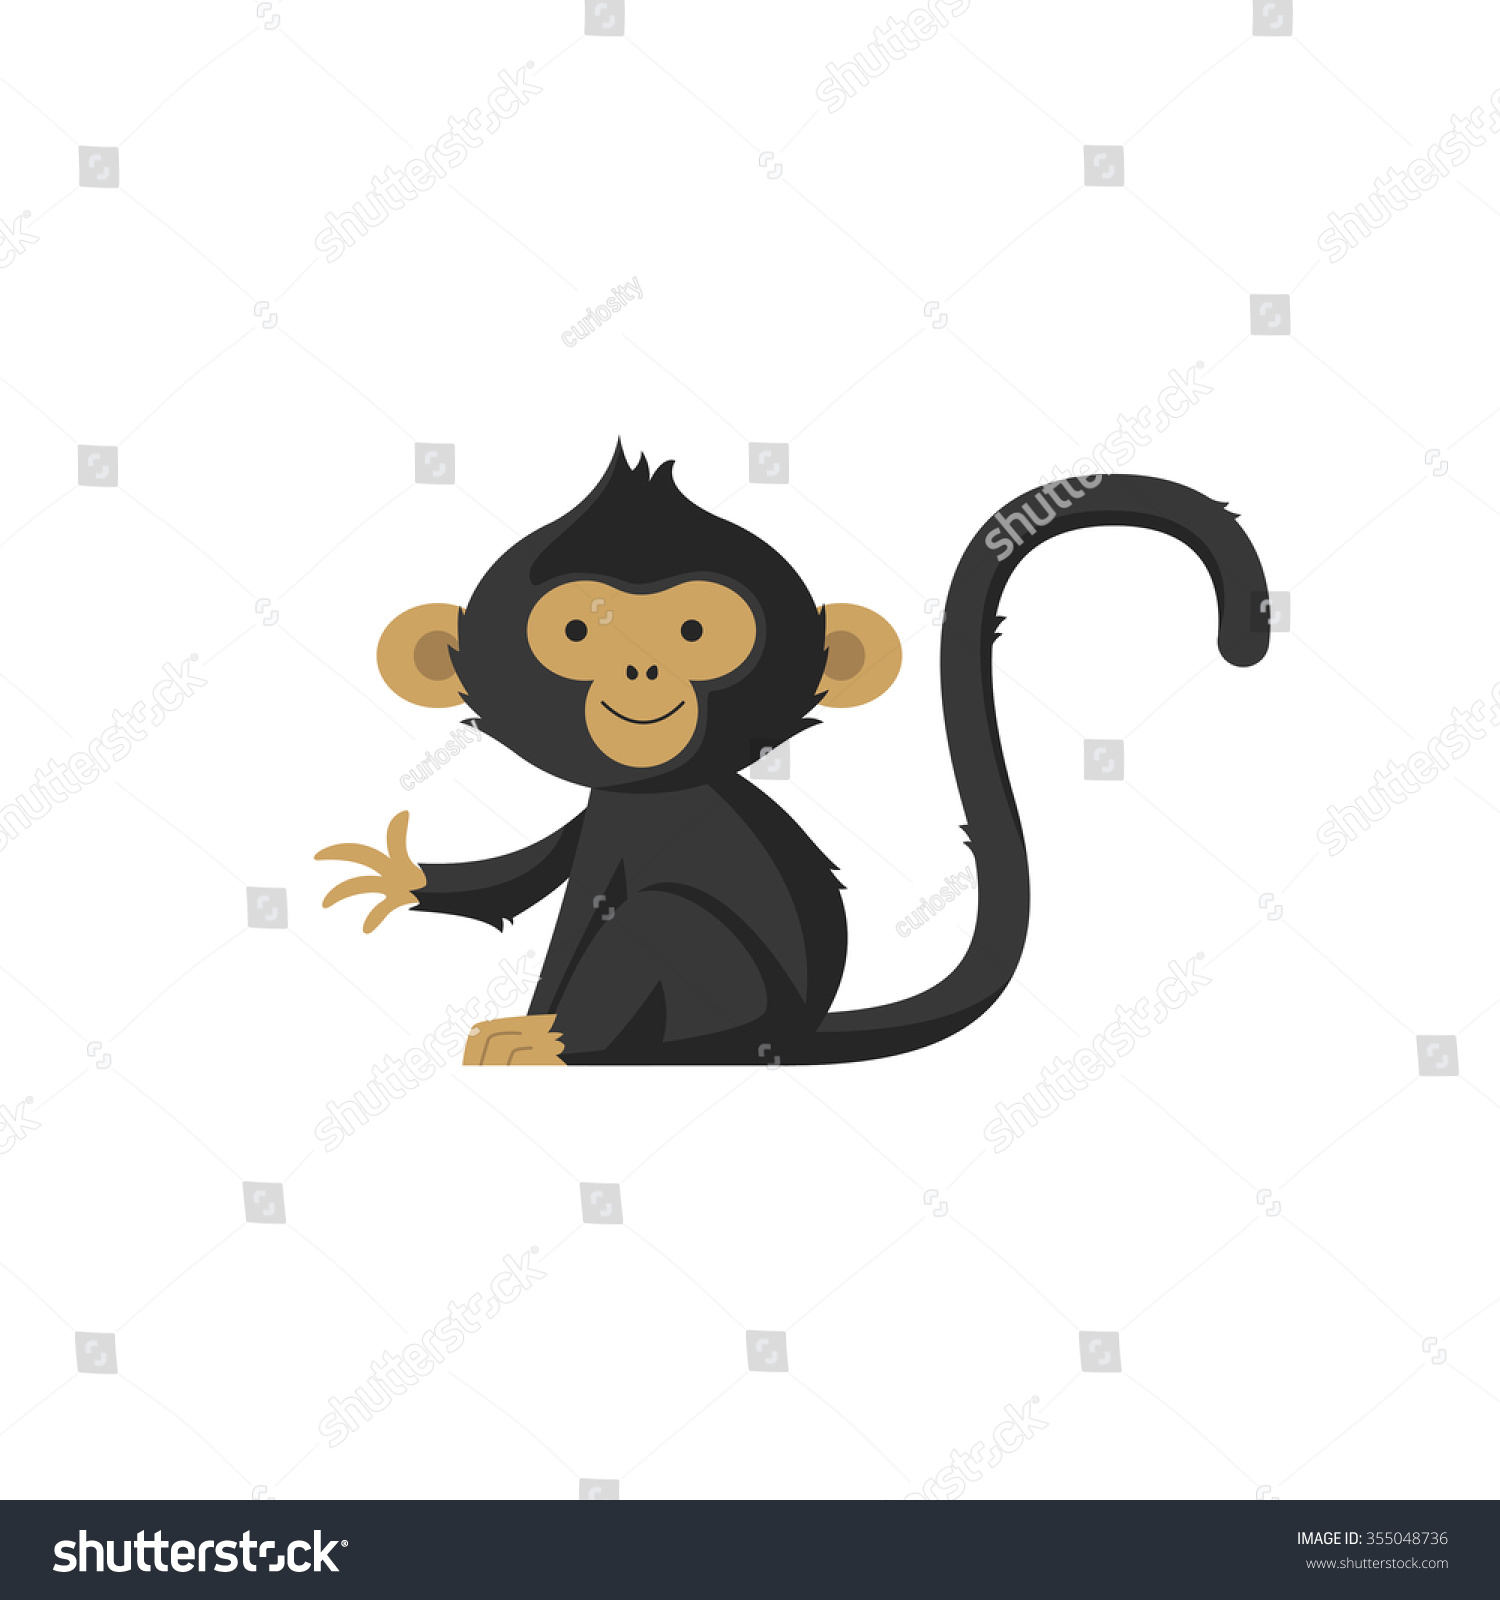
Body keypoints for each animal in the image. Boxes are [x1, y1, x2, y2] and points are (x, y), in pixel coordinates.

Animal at [318, 442, 1270, 1065]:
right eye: (581, 630)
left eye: (694, 631)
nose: (641, 664)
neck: (656, 791)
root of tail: (790, 1029)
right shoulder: (606, 803)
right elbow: (539, 869)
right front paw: (404, 875)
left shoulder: (640, 824)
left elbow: (600, 904)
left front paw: (545, 1033)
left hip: (722, 1002)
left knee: (665, 921)